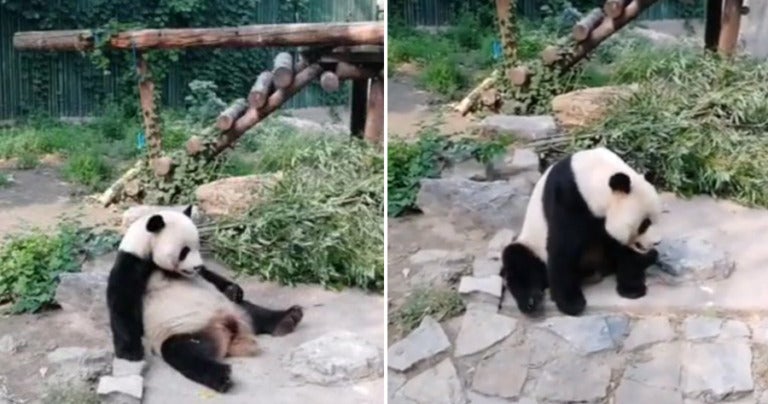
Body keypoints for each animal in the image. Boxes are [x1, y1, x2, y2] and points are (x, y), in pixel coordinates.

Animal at [106, 206, 303, 392]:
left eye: (197, 246)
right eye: (184, 251)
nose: (197, 266)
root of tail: (229, 329)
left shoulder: (199, 275)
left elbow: (211, 276)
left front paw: (233, 289)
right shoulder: (132, 264)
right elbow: (122, 305)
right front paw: (130, 353)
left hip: (232, 308)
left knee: (253, 310)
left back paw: (288, 318)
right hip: (188, 331)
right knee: (183, 352)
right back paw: (221, 376)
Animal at [499, 147, 662, 317]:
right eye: (645, 224)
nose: (657, 241)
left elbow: (622, 248)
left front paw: (633, 288)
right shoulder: (567, 197)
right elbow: (563, 248)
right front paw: (571, 303)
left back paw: (649, 257)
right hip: (533, 245)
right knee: (519, 259)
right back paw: (530, 301)